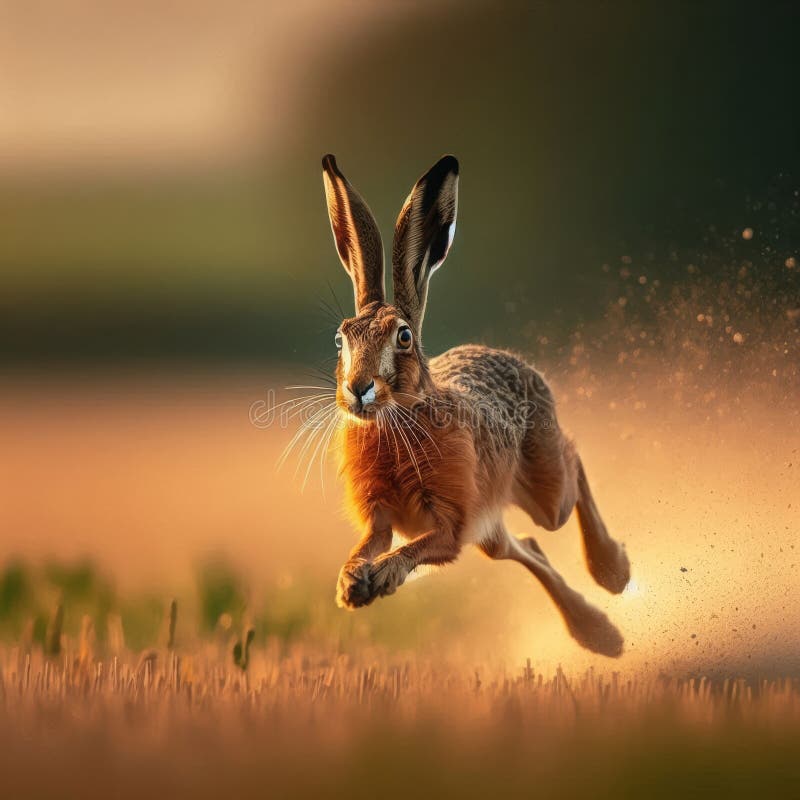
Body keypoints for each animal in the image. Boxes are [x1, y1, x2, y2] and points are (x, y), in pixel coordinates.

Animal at [321, 153, 631, 657]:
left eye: (403, 338)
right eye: (340, 339)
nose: (358, 388)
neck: (399, 420)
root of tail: (513, 359)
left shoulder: (453, 522)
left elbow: (418, 548)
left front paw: (382, 576)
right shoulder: (383, 518)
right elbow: (369, 543)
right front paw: (350, 583)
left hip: (545, 493)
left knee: (572, 468)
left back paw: (612, 571)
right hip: (494, 530)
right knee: (526, 546)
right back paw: (598, 634)